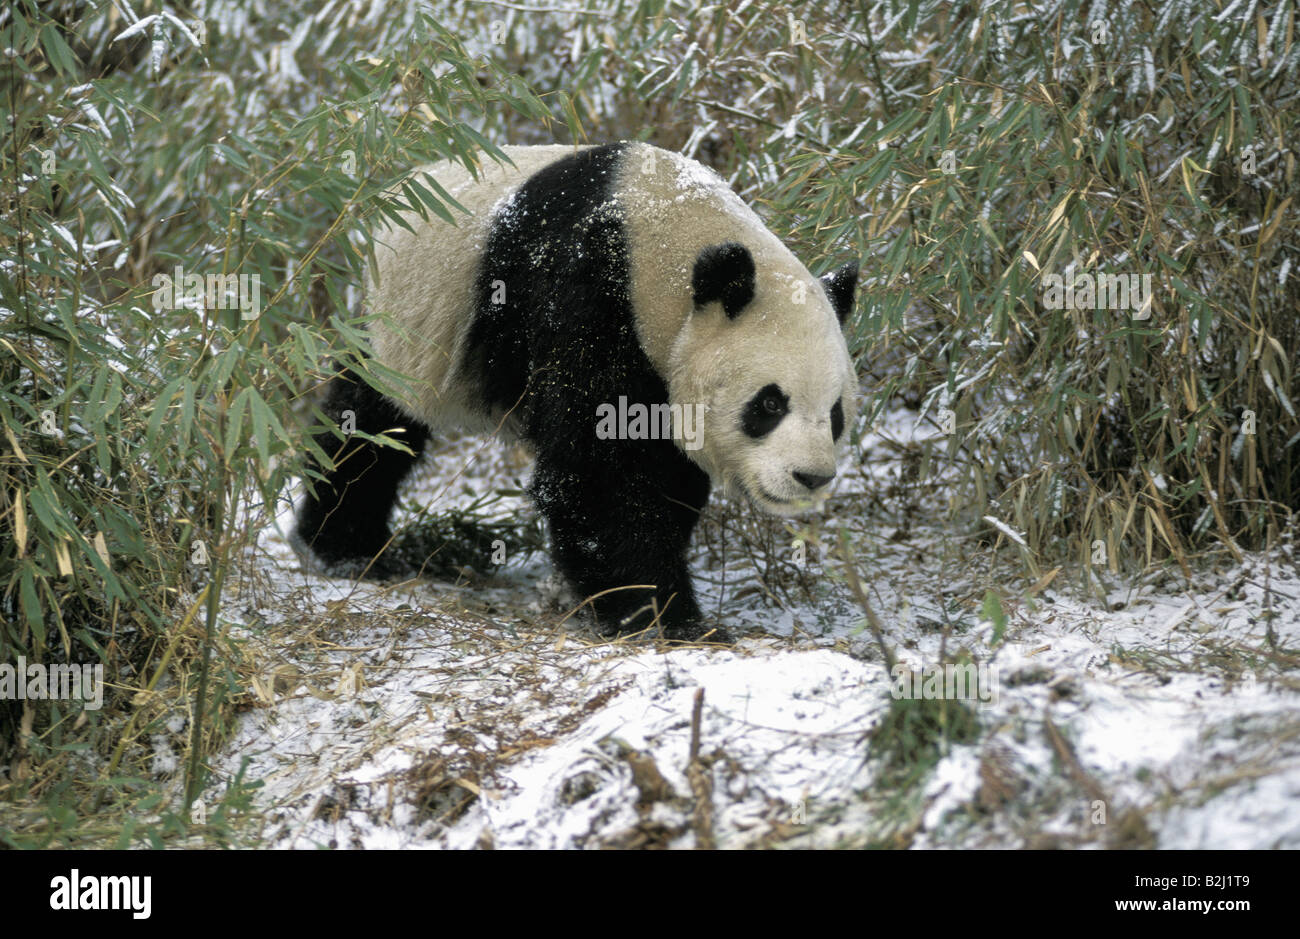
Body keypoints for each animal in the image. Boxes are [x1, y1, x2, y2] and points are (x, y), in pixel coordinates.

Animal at [293, 141, 859, 641]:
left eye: (834, 414)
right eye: (769, 403)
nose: (810, 477)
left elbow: (667, 473)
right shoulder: (588, 295)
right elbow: (599, 468)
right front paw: (664, 616)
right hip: (398, 329)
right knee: (370, 425)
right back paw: (345, 548)